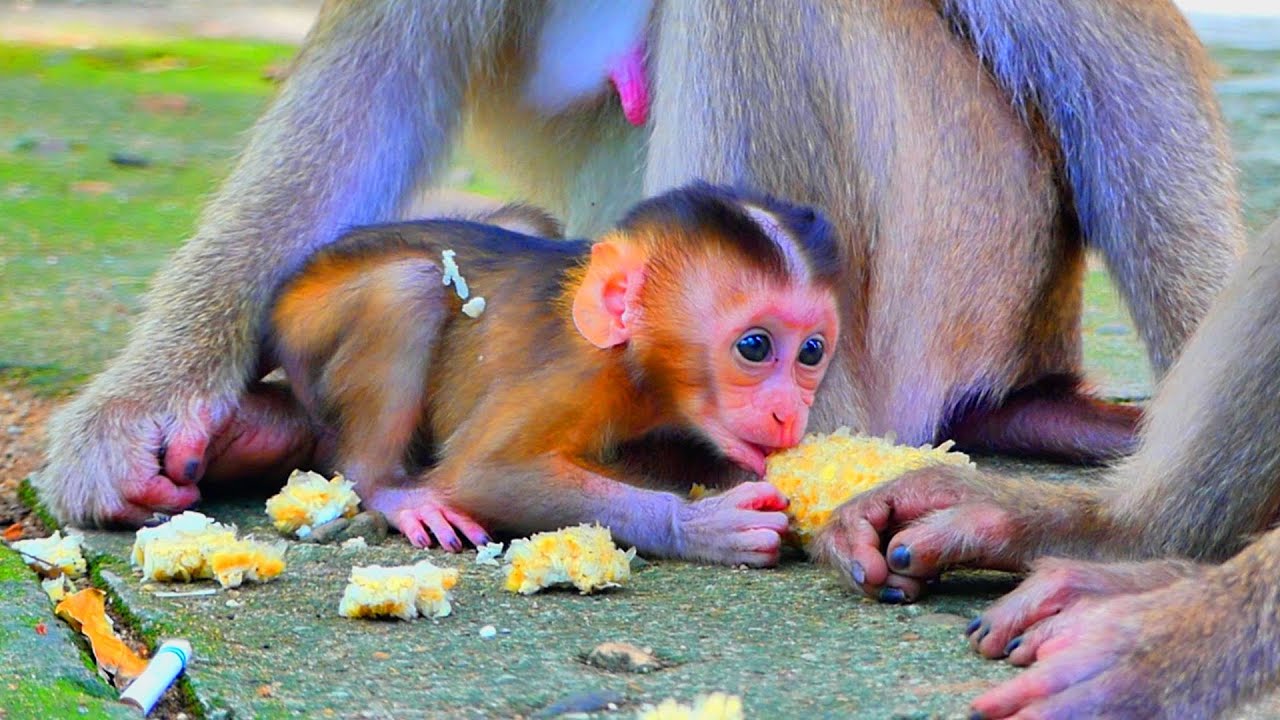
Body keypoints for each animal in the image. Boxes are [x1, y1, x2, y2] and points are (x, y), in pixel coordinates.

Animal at [268, 183, 840, 565]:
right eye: (754, 346)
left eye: (812, 352)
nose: (789, 413)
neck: (637, 372)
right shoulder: (576, 378)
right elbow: (484, 475)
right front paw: (701, 524)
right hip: (306, 324)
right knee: (408, 287)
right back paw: (388, 489)